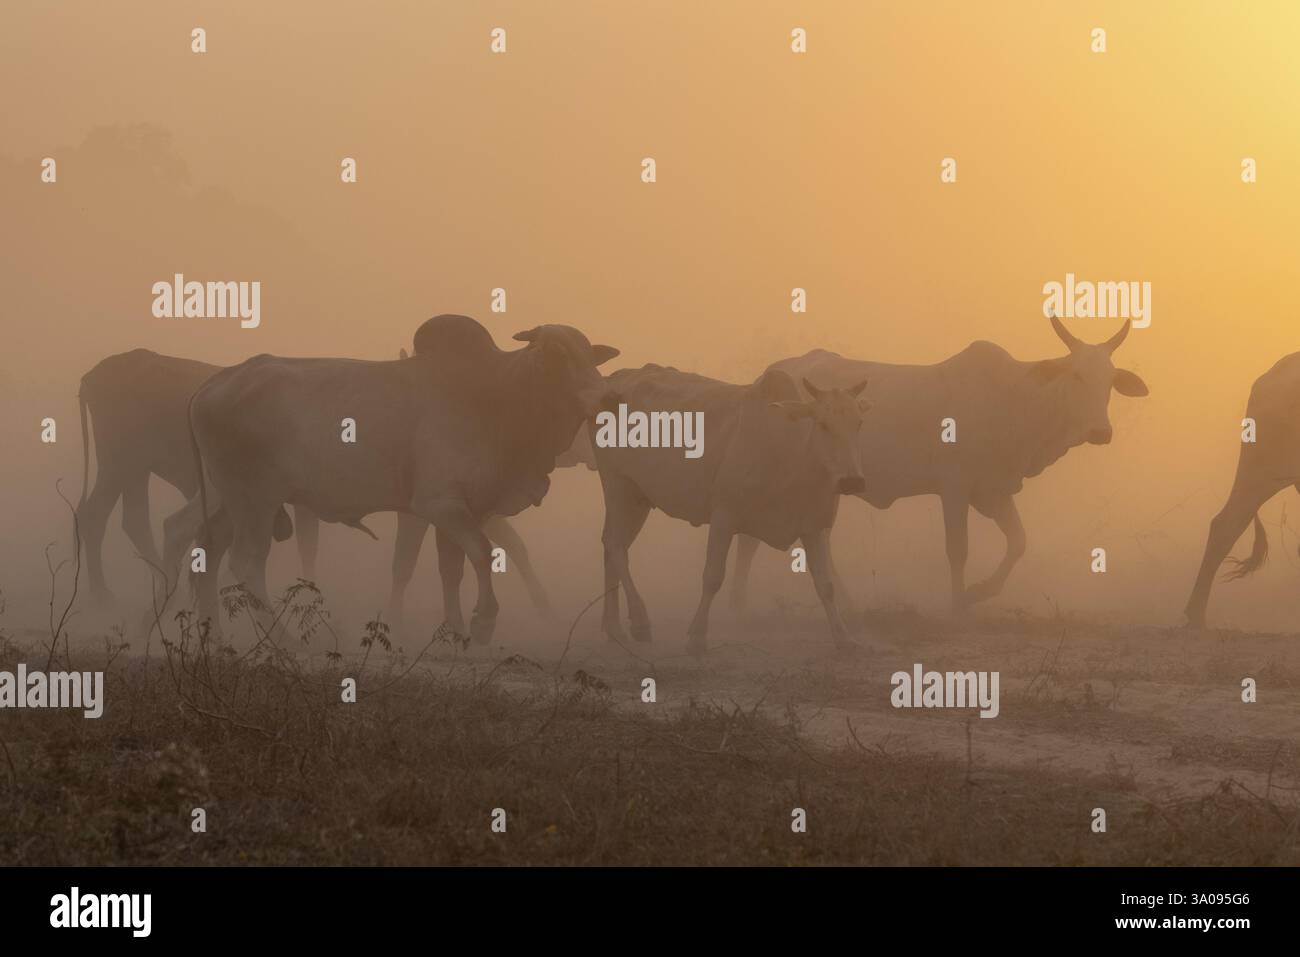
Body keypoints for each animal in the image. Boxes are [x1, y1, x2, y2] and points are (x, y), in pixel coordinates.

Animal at [175, 314, 618, 643]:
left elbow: (452, 568)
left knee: (207, 553)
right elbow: (482, 553)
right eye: (556, 355)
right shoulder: (439, 504)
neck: (495, 395)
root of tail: (213, 384)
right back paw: (282, 640)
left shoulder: (461, 511)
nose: (604, 396)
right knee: (245, 563)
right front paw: (482, 623)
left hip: (232, 502)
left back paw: (216, 638)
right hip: (255, 500)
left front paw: (455, 629)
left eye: (590, 356)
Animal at [592, 364, 869, 654]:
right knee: (615, 545)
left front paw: (845, 640)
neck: (789, 452)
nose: (852, 480)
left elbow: (825, 585)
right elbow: (713, 577)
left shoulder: (812, 526)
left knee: (612, 546)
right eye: (823, 424)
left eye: (858, 424)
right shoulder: (724, 516)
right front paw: (697, 637)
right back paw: (639, 621)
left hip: (638, 498)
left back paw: (614, 628)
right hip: (617, 485)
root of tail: (615, 382)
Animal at [727, 316, 1150, 617]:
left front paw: (978, 593)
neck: (1015, 397)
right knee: (760, 538)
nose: (1100, 431)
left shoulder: (993, 490)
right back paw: (743, 604)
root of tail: (769, 376)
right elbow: (958, 548)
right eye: (1076, 375)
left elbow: (1019, 542)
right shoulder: (955, 487)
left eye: (1109, 380)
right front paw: (958, 603)